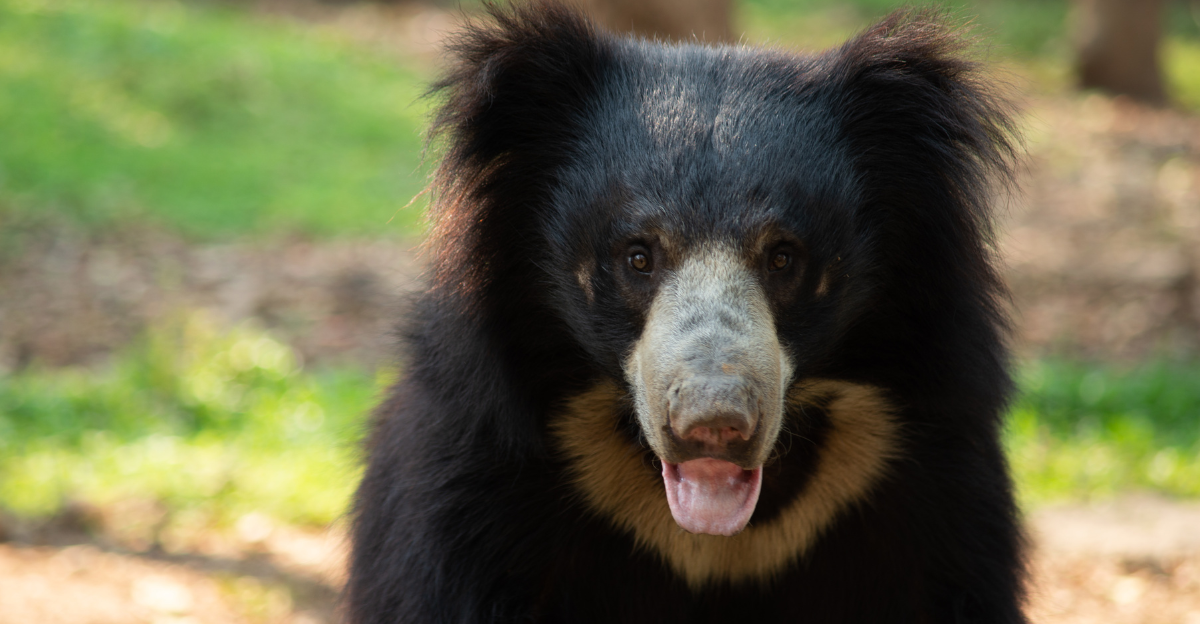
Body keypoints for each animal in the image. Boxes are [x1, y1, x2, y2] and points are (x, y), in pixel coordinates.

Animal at [346, 2, 1027, 622]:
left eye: (784, 257)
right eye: (638, 256)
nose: (713, 423)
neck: (715, 536)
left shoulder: (928, 482)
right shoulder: (475, 477)